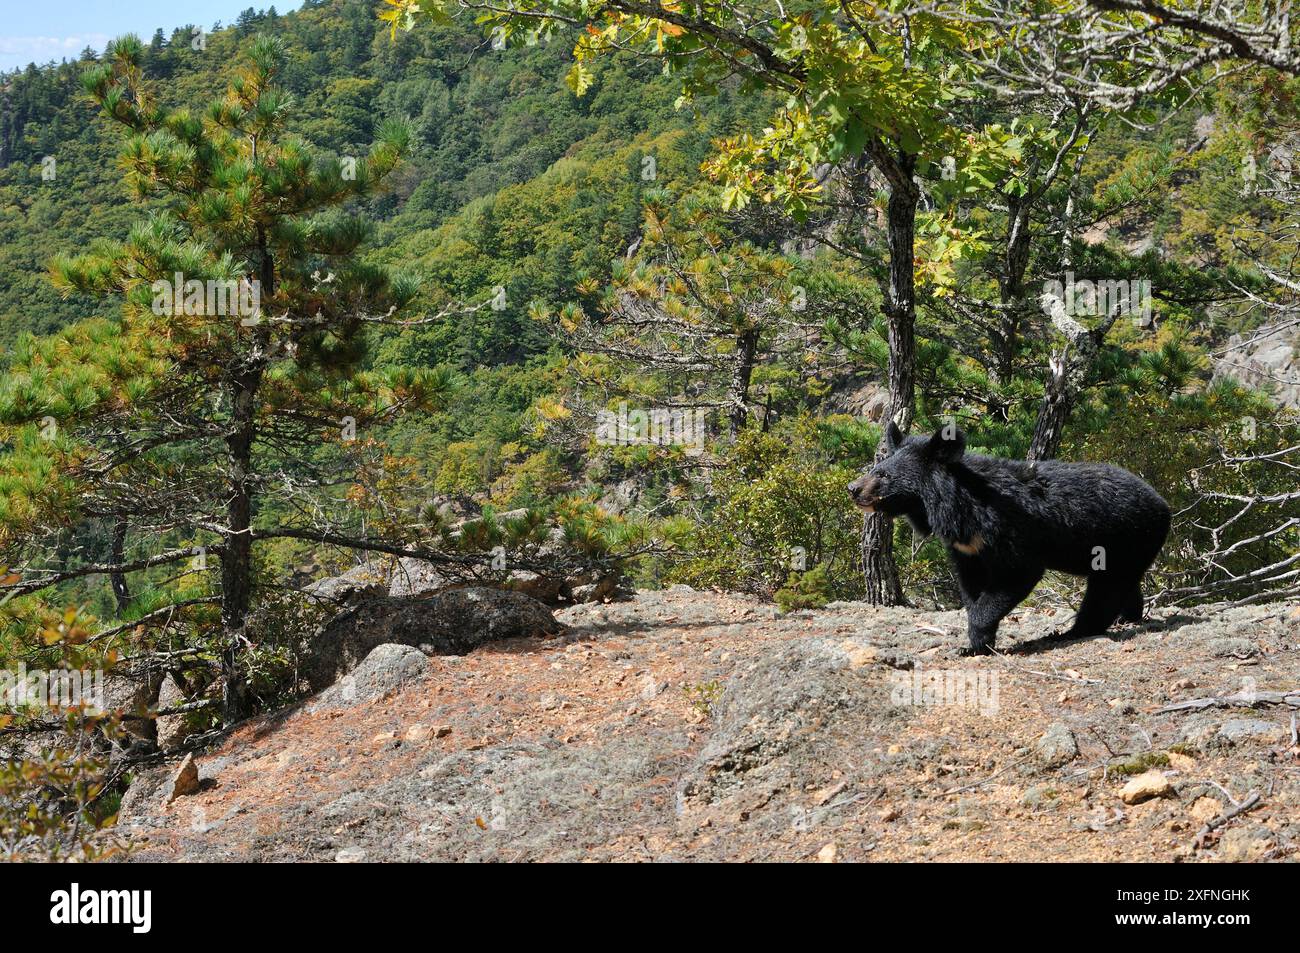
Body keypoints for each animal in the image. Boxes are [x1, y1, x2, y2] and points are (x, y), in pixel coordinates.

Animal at [847, 422, 1171, 655]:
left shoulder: (1009, 528)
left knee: (1106, 589)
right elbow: (971, 585)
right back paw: (1126, 617)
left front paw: (975, 641)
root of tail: (1163, 504)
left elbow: (1017, 573)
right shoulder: (967, 548)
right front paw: (977, 644)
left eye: (883, 475)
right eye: (876, 468)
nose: (853, 488)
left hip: (1126, 536)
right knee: (1123, 583)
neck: (953, 503)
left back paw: (1075, 631)